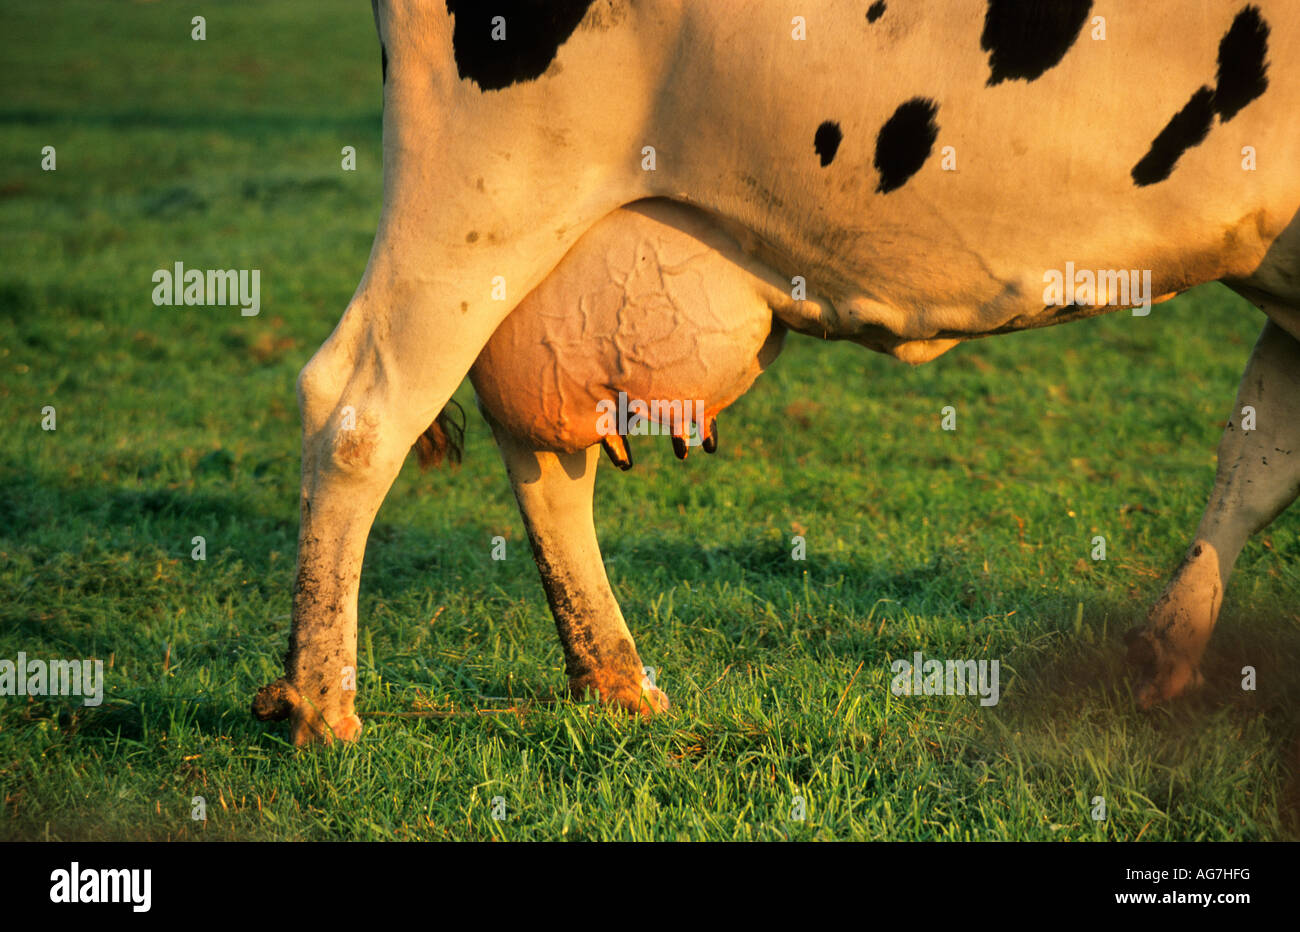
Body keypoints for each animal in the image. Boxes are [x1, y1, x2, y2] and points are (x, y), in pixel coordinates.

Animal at [253, 0, 1300, 745]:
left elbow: (1258, 462)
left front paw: (1164, 651)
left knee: (539, 447)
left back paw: (615, 677)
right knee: (356, 407)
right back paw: (319, 706)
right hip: (483, 189)